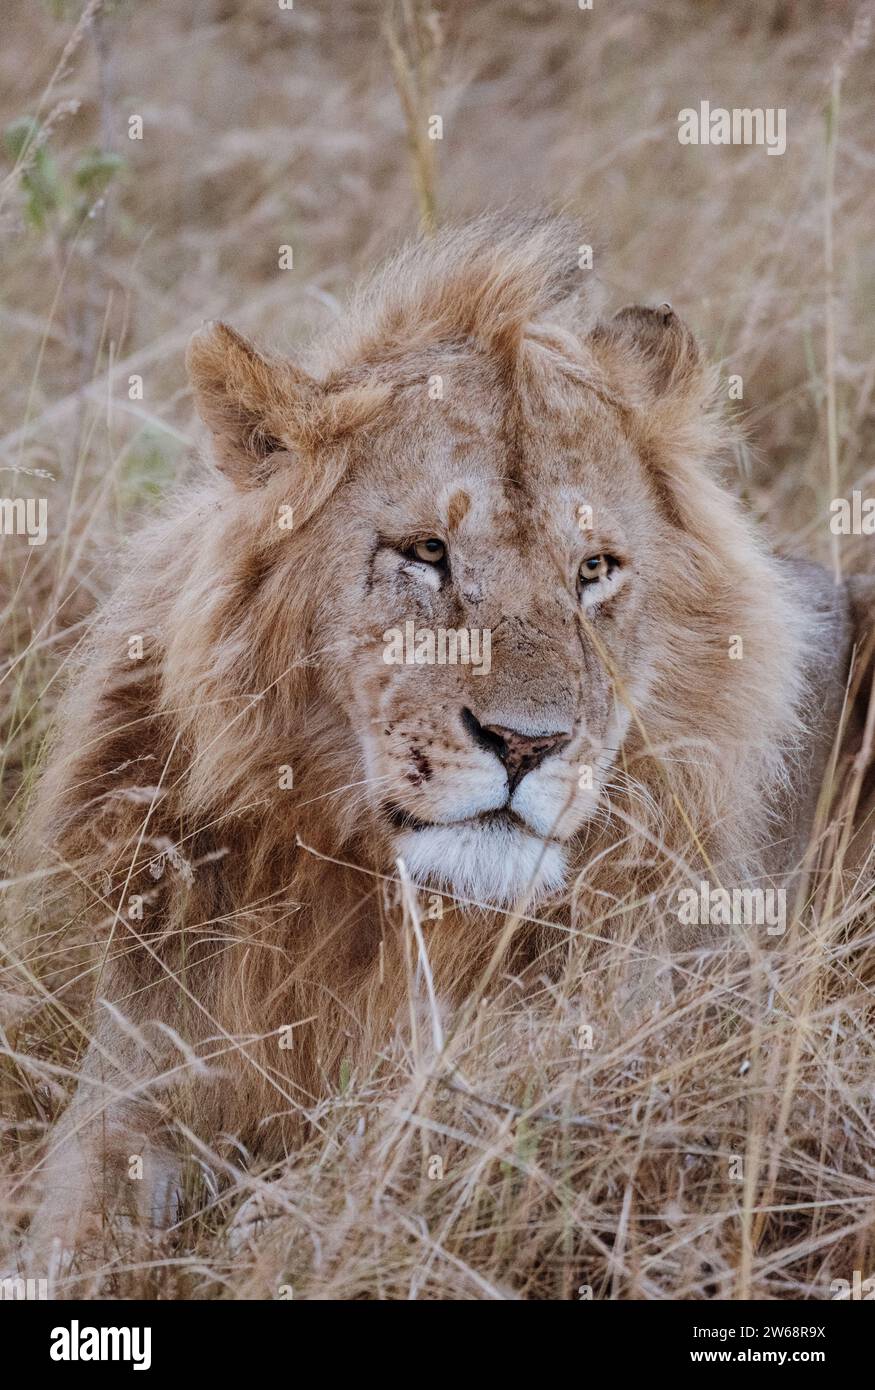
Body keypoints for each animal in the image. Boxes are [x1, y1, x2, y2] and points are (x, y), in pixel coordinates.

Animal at [15, 212, 875, 1272]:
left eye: (594, 569)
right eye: (427, 552)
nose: (527, 744)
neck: (368, 909)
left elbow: (330, 1197)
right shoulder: (135, 1077)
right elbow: (66, 1230)